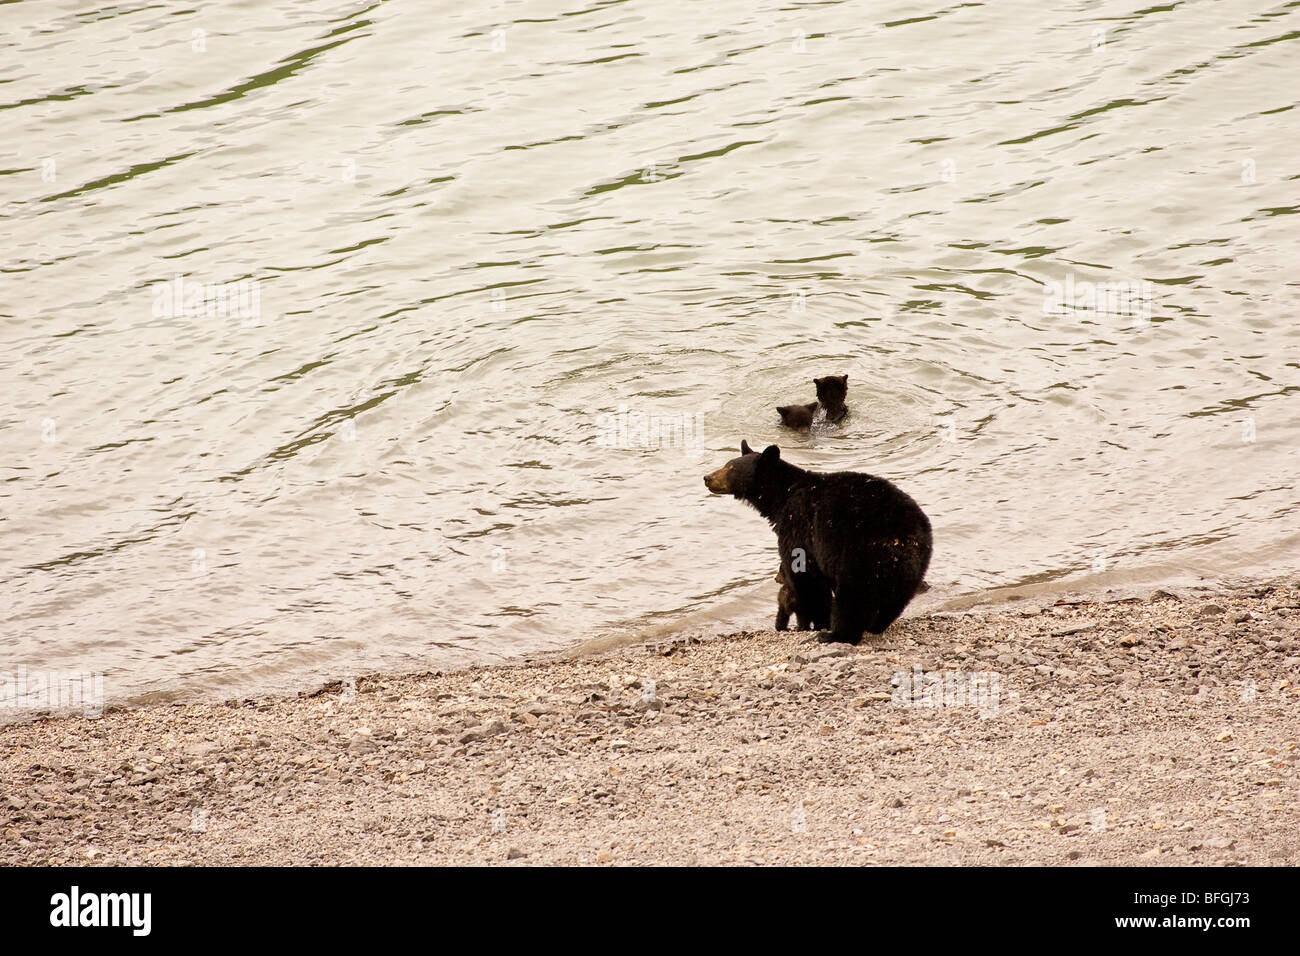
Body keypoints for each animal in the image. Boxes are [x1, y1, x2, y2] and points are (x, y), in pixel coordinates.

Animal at [704, 441, 931, 644]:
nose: (707, 477)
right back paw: (875, 625)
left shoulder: (798, 528)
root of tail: (904, 535)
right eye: (727, 463)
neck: (783, 496)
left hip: (859, 554)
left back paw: (836, 635)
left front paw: (819, 623)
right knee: (893, 600)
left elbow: (806, 578)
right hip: (911, 564)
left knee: (852, 598)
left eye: (731, 468)